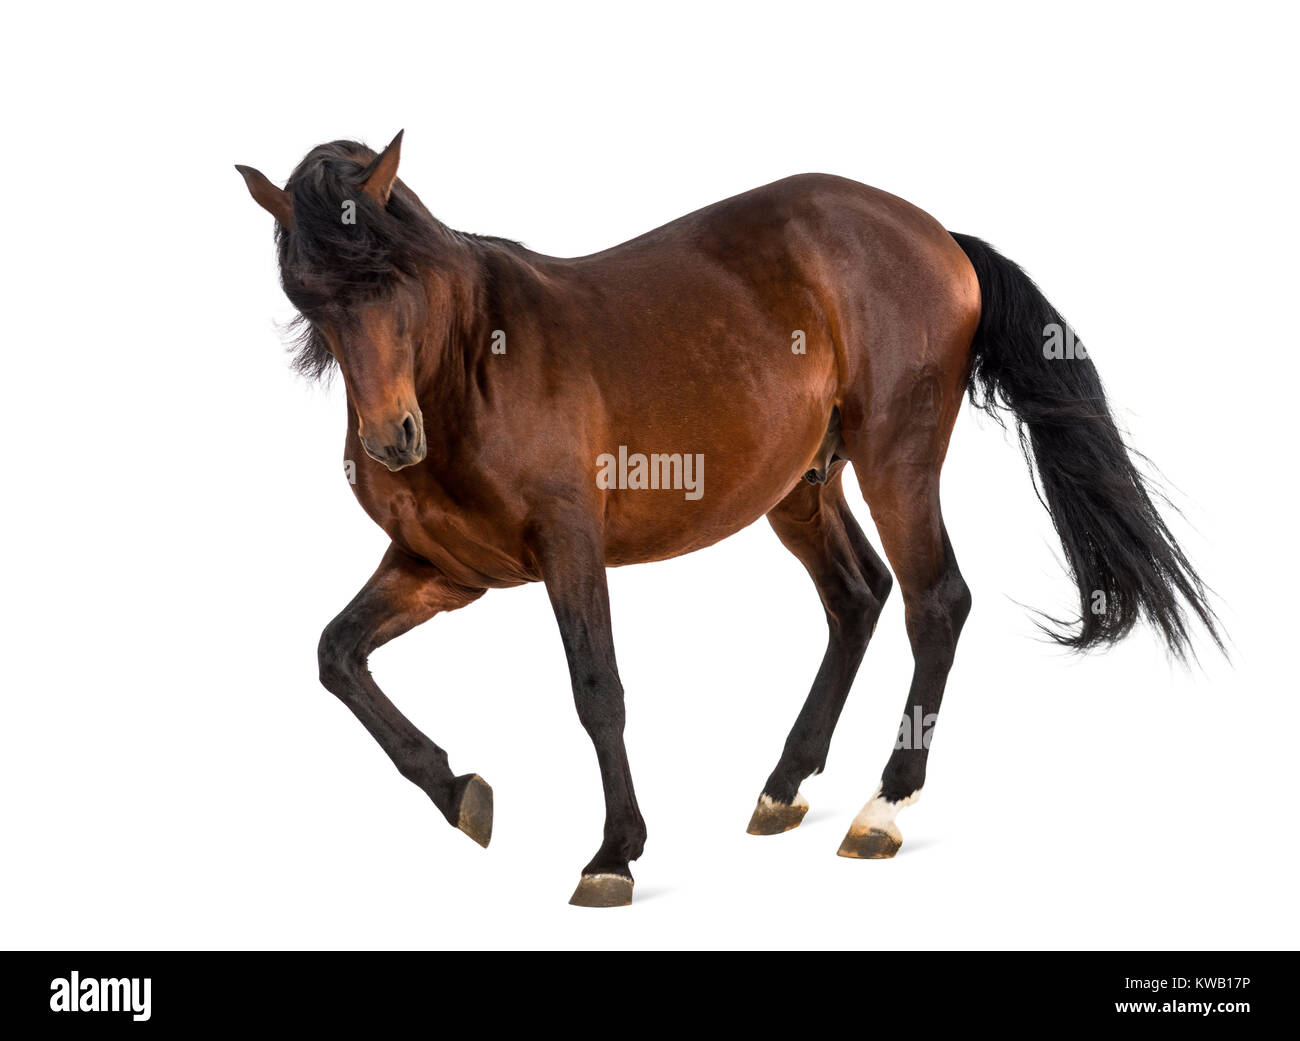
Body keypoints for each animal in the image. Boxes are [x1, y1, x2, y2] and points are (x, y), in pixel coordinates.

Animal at [236, 131, 1221, 907]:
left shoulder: (569, 547)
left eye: (393, 276)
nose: (391, 439)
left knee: (934, 601)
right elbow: (337, 656)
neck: (472, 361)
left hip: (896, 458)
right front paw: (459, 790)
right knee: (857, 597)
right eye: (308, 294)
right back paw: (784, 785)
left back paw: (885, 807)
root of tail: (936, 235)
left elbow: (597, 689)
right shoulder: (442, 569)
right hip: (800, 486)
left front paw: (614, 853)